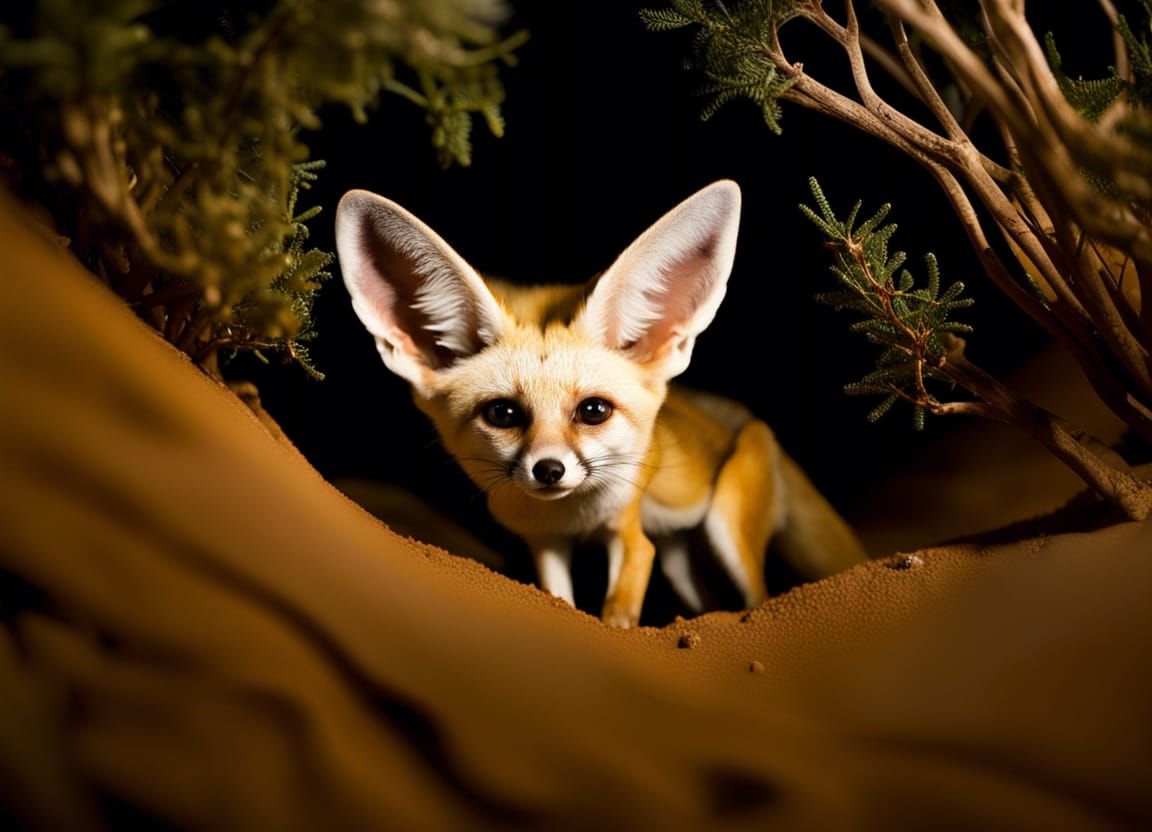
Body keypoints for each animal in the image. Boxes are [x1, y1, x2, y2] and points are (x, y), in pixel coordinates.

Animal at [335, 180, 868, 627]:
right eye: (503, 414)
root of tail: (745, 420)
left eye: (593, 411)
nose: (549, 469)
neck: (572, 517)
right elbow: (560, 600)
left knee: (757, 596)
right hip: (680, 556)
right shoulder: (545, 543)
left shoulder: (631, 536)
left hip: (725, 526)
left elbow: (618, 612)